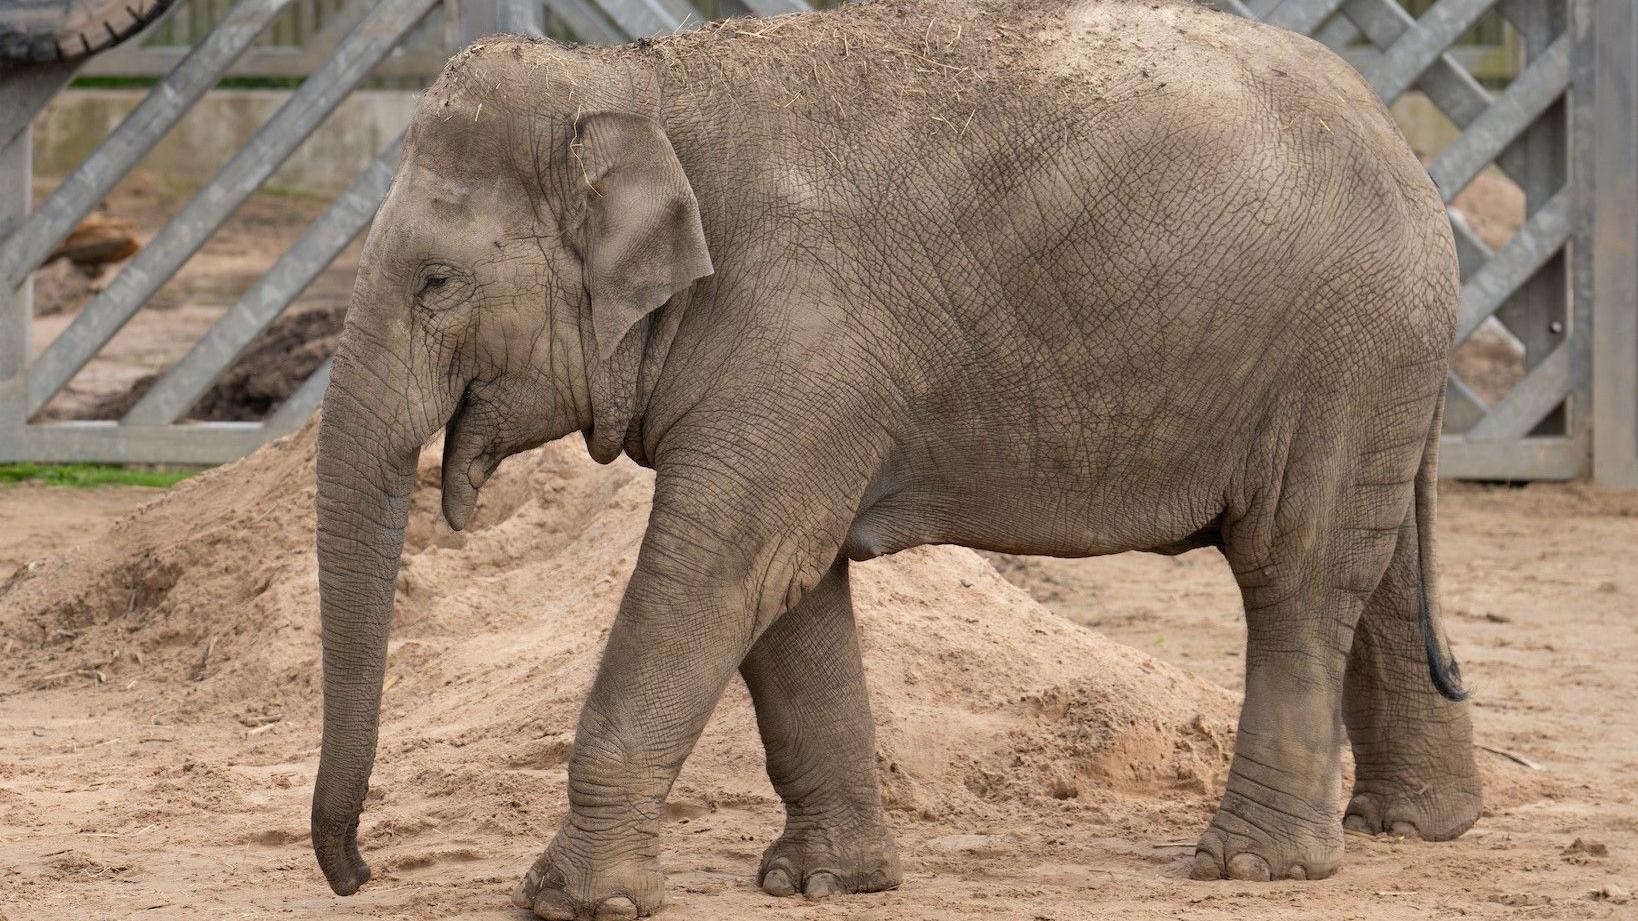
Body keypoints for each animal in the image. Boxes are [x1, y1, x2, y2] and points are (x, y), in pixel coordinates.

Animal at [308, 0, 1482, 916]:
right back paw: (1413, 827)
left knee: (1297, 571)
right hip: (1376, 370)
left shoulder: (797, 327)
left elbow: (724, 565)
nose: (358, 873)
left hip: (1343, 346)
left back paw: (1252, 868)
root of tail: (1408, 151)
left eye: (435, 284)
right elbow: (787, 591)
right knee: (1379, 574)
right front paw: (822, 884)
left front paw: (568, 902)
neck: (641, 79)